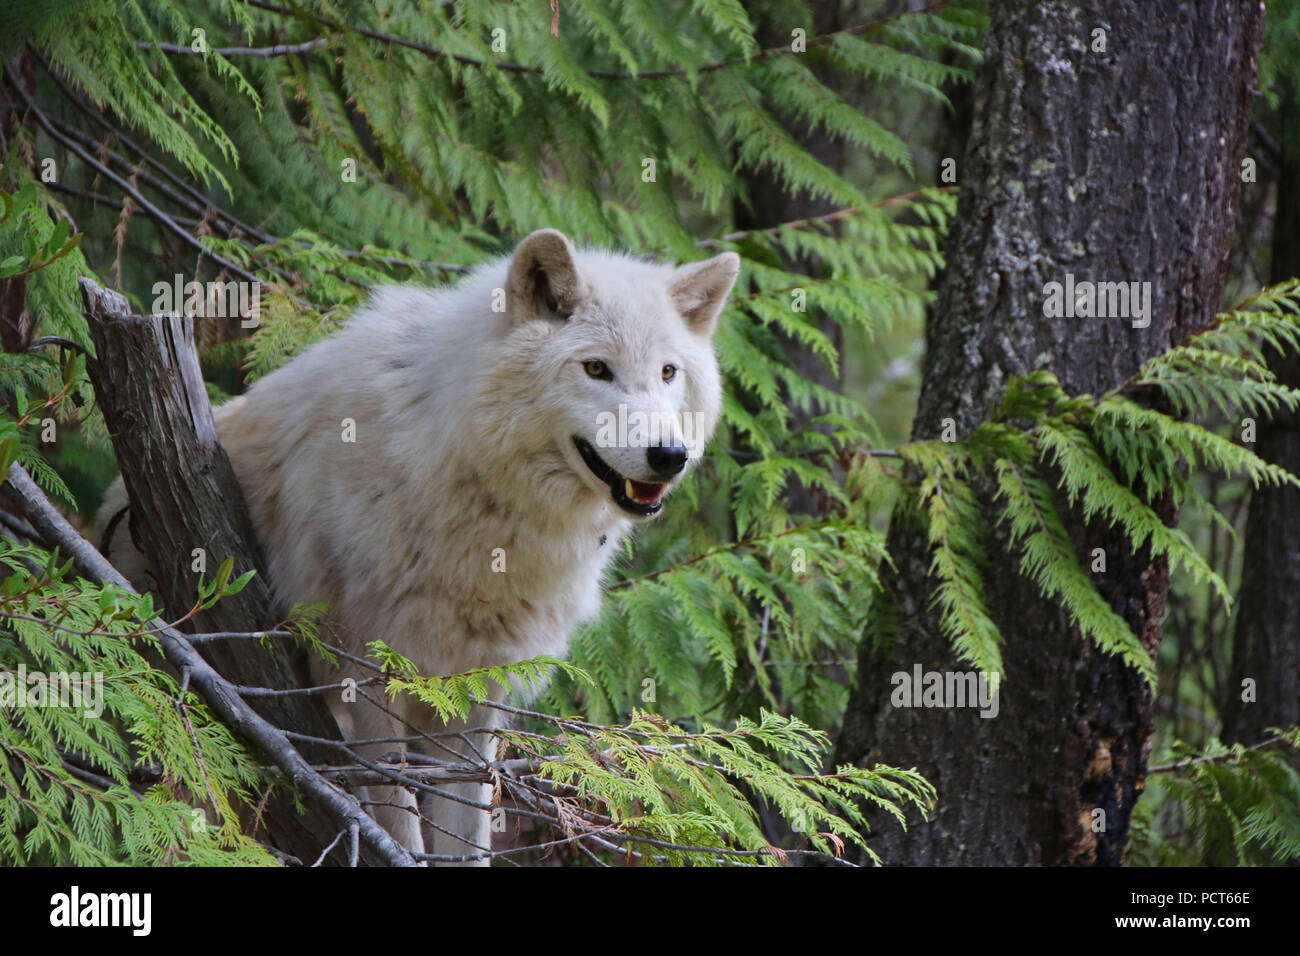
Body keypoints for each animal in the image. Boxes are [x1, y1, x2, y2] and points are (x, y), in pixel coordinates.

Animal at [97, 229, 739, 864]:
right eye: (597, 368)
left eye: (668, 373)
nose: (670, 455)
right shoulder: (371, 677)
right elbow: (398, 820)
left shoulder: (476, 701)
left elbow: (466, 835)